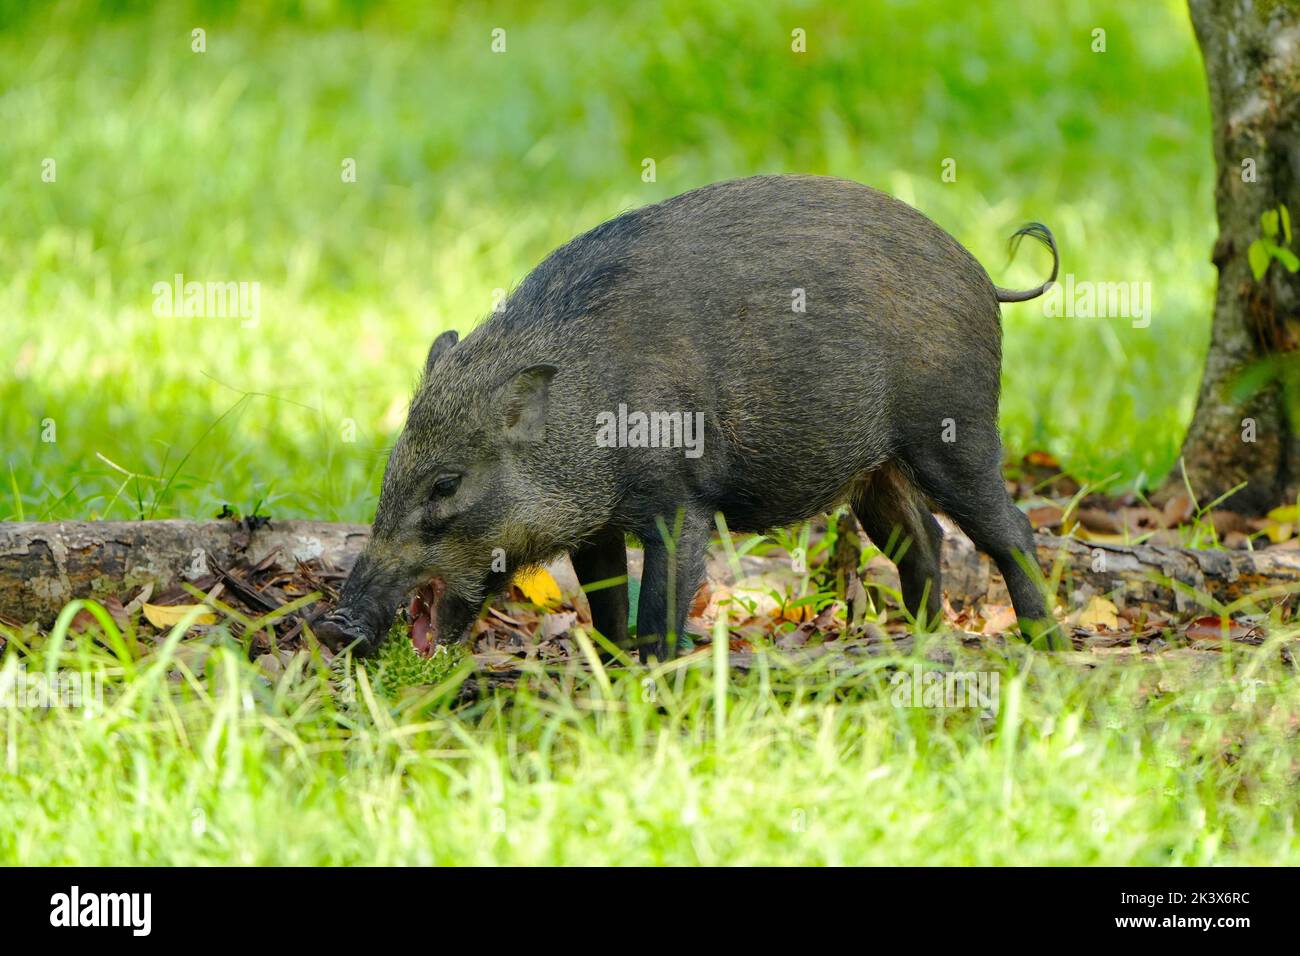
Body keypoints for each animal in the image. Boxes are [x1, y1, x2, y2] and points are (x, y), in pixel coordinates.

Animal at [314, 174, 1062, 662]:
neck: (589, 412)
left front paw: (655, 671)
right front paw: (611, 668)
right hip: (877, 470)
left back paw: (1044, 643)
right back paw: (922, 642)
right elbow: (607, 603)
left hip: (956, 433)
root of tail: (982, 274)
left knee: (1009, 531)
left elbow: (657, 608)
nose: (332, 627)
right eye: (389, 472)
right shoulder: (594, 526)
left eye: (446, 484)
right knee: (922, 538)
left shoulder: (680, 503)